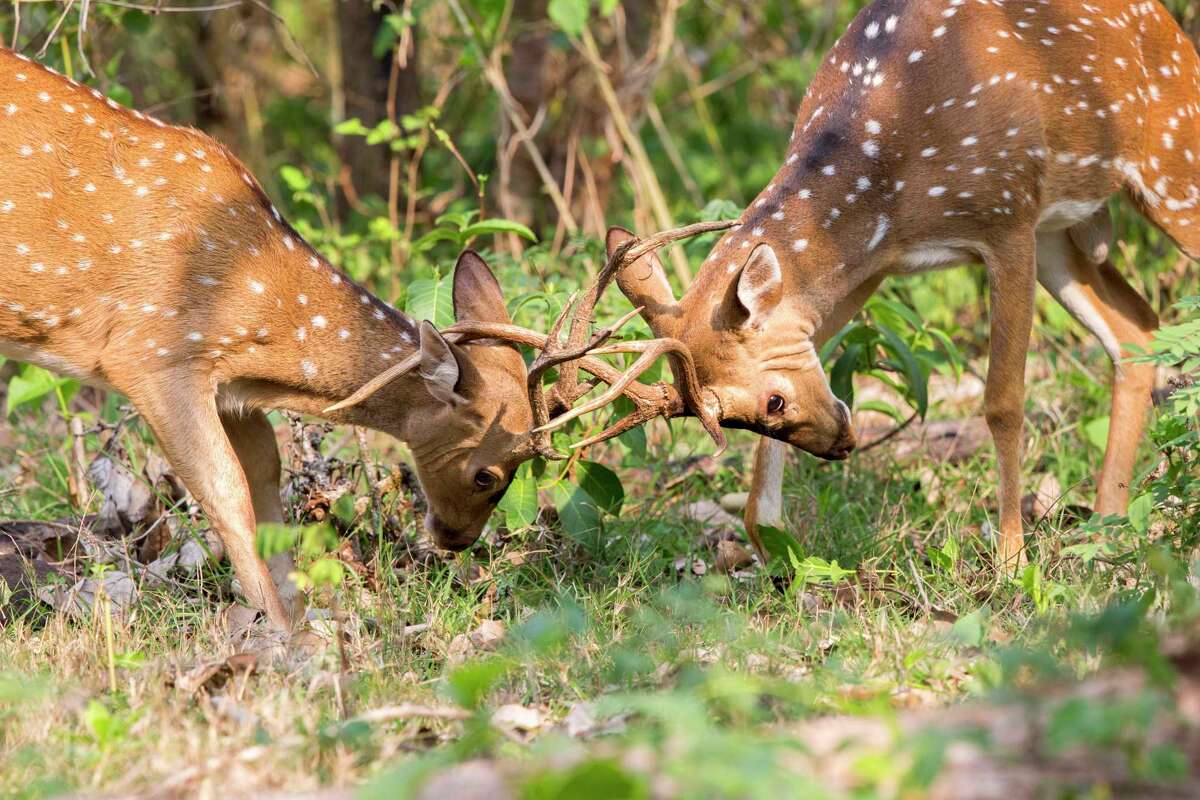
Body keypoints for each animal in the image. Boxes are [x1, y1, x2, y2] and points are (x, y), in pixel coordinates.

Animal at [0, 47, 735, 633]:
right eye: (489, 473)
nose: (456, 542)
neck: (250, 301)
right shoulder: (152, 352)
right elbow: (228, 495)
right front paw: (277, 639)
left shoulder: (233, 391)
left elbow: (269, 491)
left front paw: (305, 627)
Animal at [538, 0, 1200, 568]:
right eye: (734, 421)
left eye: (773, 402)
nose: (840, 445)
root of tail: (1170, 26)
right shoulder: (866, 266)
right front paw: (771, 544)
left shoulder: (1007, 217)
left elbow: (1004, 402)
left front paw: (1012, 560)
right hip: (1062, 227)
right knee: (1137, 329)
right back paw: (1107, 529)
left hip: (1171, 162)